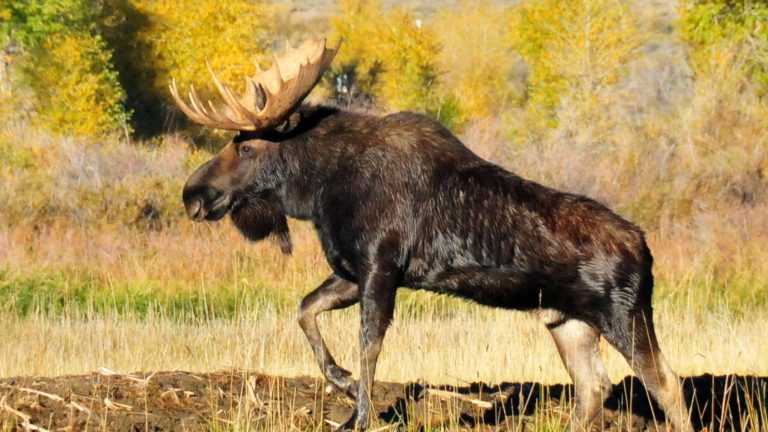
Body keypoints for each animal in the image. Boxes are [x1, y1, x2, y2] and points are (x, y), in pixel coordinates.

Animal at [171, 36, 692, 431]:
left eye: (248, 146)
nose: (191, 194)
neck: (319, 191)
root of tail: (646, 247)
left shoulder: (380, 265)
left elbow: (369, 344)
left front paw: (360, 416)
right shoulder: (352, 270)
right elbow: (305, 311)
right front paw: (342, 383)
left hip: (624, 314)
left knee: (666, 382)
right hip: (567, 320)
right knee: (593, 388)